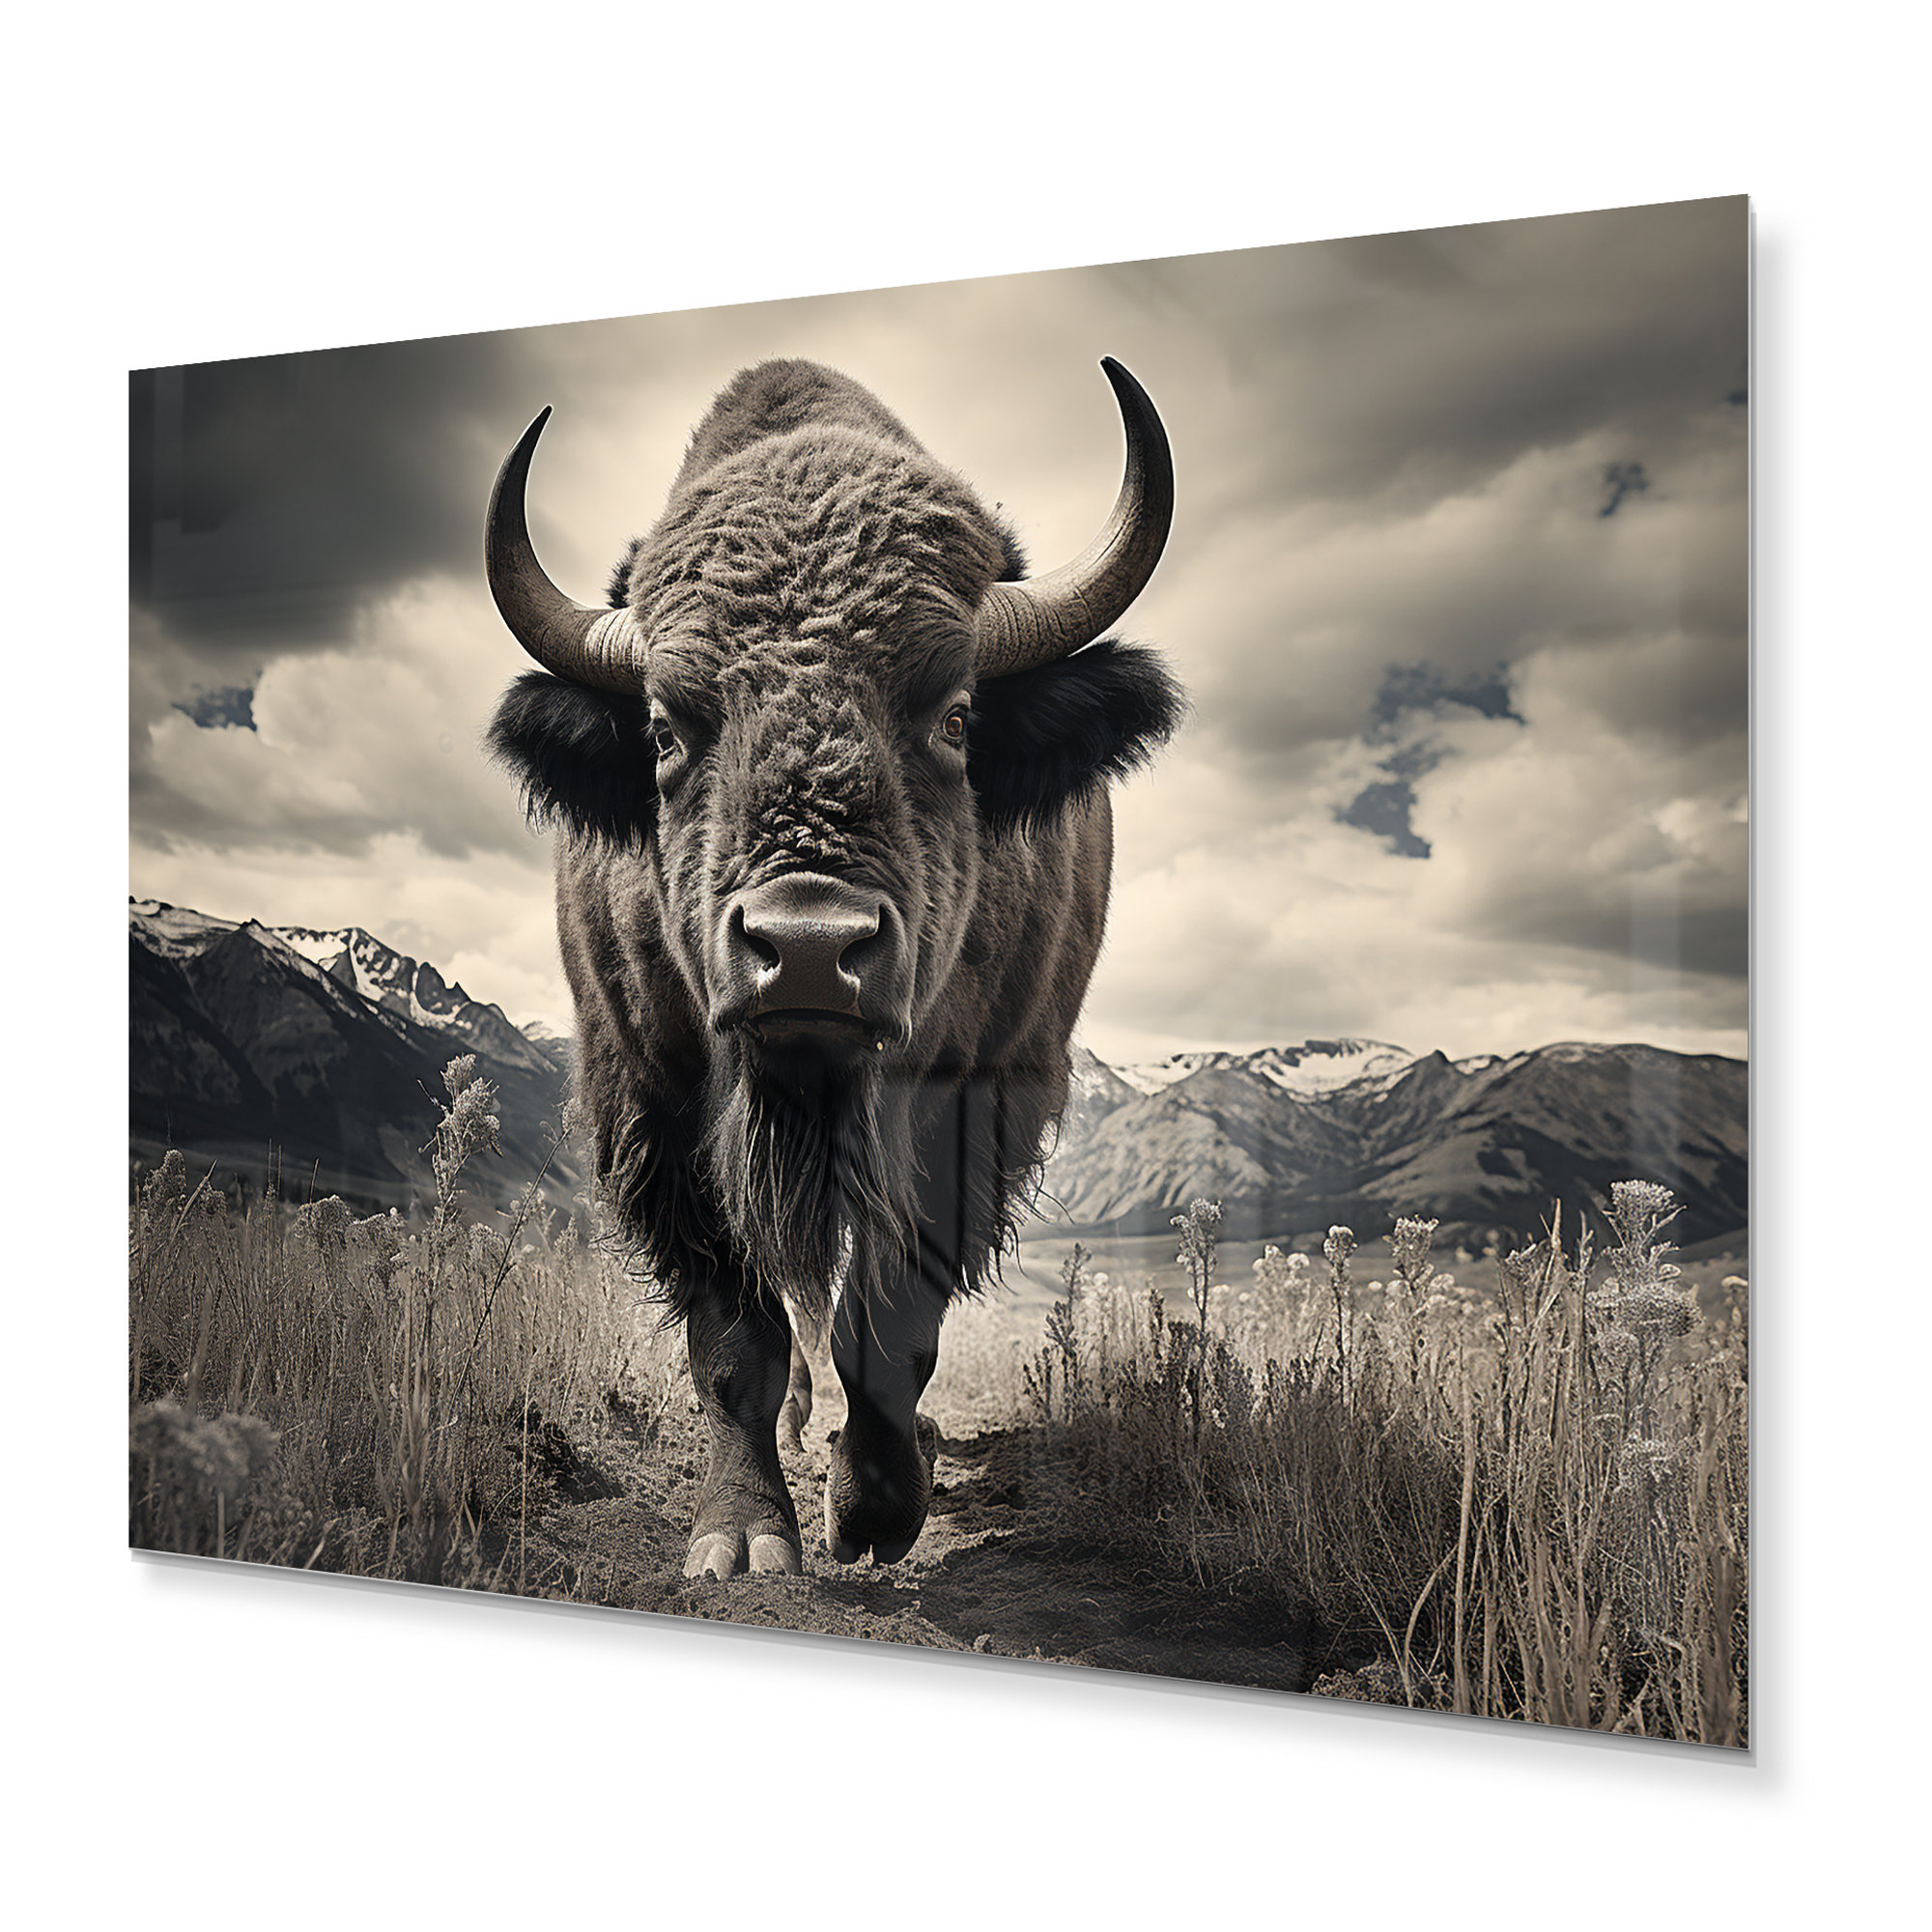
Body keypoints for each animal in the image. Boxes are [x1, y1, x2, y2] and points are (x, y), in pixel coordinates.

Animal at [486, 357, 1179, 1576]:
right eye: (664, 730)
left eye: (954, 716)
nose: (806, 946)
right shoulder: (660, 1104)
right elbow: (735, 1338)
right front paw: (743, 1537)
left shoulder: (971, 1105)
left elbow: (893, 1316)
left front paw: (871, 1508)